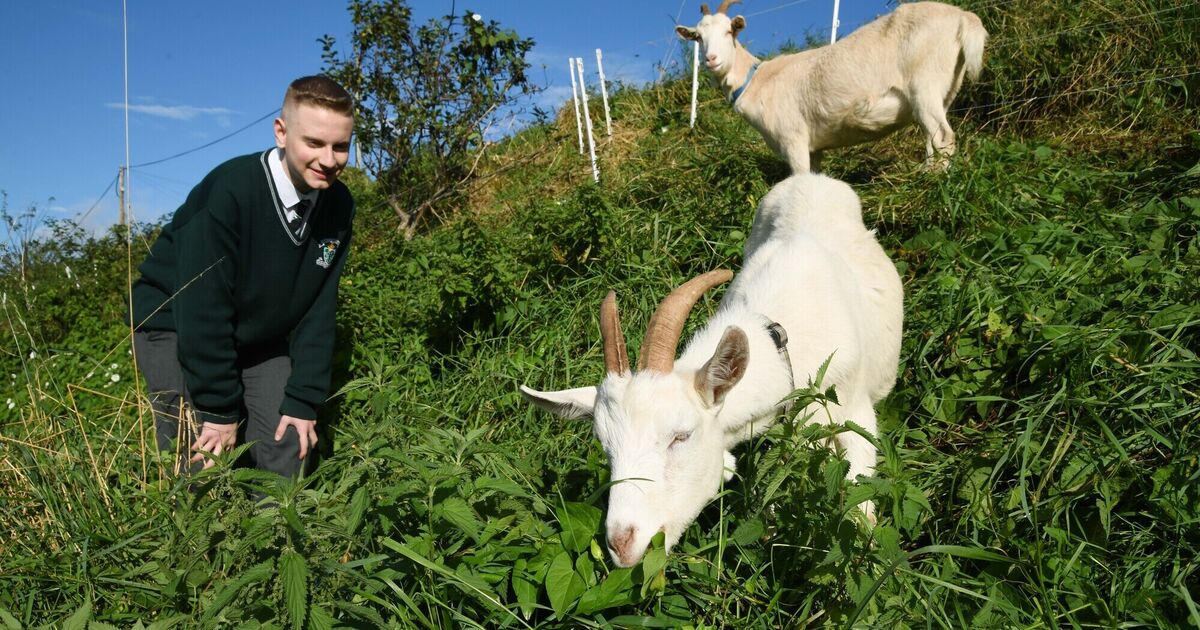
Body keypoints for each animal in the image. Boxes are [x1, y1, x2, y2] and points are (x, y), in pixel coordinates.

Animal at [521, 173, 903, 567]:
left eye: (681, 436)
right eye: (606, 446)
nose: (623, 545)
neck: (782, 338)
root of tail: (805, 175)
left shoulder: (853, 413)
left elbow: (859, 502)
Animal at [676, 0, 988, 172]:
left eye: (730, 31)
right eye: (698, 37)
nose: (711, 59)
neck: (756, 81)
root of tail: (963, 17)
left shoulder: (794, 139)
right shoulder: (815, 149)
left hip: (925, 83)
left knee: (944, 138)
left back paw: (936, 183)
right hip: (945, 89)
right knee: (931, 137)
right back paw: (923, 173)